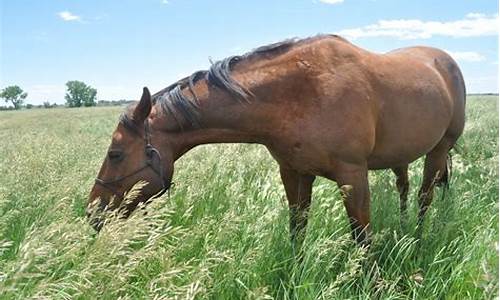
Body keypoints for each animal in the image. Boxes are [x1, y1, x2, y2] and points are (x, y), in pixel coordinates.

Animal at [86, 34, 464, 246]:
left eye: (115, 153)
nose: (92, 212)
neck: (301, 91)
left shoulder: (352, 176)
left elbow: (362, 238)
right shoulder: (294, 173)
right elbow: (297, 229)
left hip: (439, 149)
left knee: (425, 197)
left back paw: (417, 238)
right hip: (402, 157)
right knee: (404, 189)